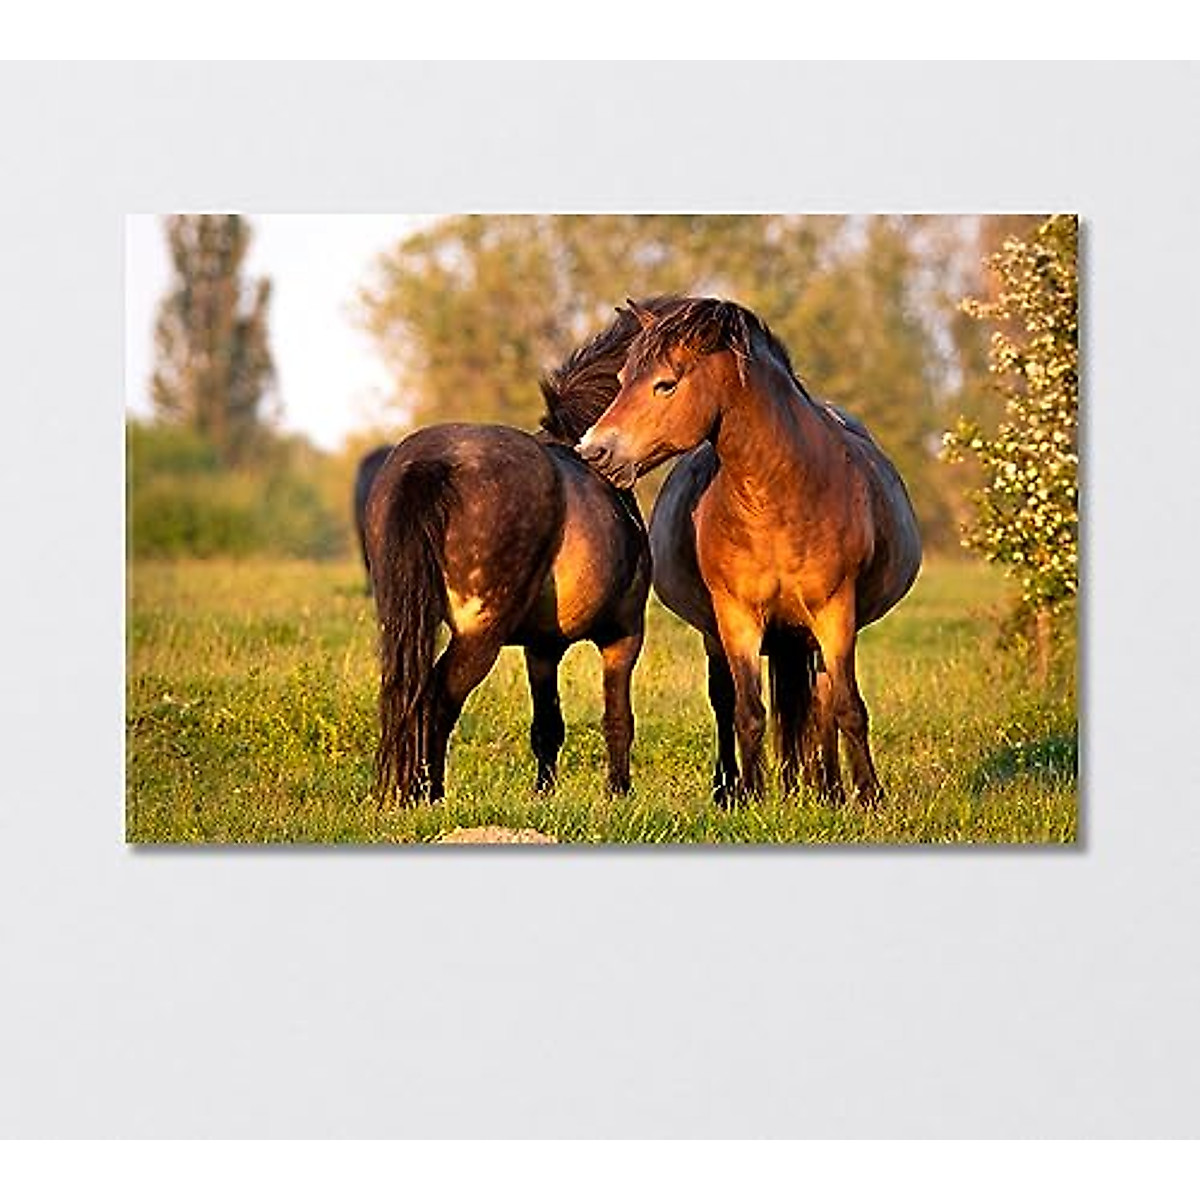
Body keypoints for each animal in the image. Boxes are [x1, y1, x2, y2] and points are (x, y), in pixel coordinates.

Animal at [364, 302, 676, 805]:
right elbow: (618, 719)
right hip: (480, 635)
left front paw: (544, 794)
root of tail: (435, 463)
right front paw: (618, 793)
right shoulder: (624, 634)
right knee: (437, 699)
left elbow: (547, 727)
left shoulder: (542, 647)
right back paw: (429, 794)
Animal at [577, 297, 922, 806]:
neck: (782, 495)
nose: (593, 450)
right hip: (721, 634)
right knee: (726, 701)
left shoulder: (836, 611)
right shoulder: (737, 616)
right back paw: (731, 788)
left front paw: (870, 797)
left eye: (665, 384)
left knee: (823, 703)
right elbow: (747, 711)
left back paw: (830, 790)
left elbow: (848, 708)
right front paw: (752, 797)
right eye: (621, 380)